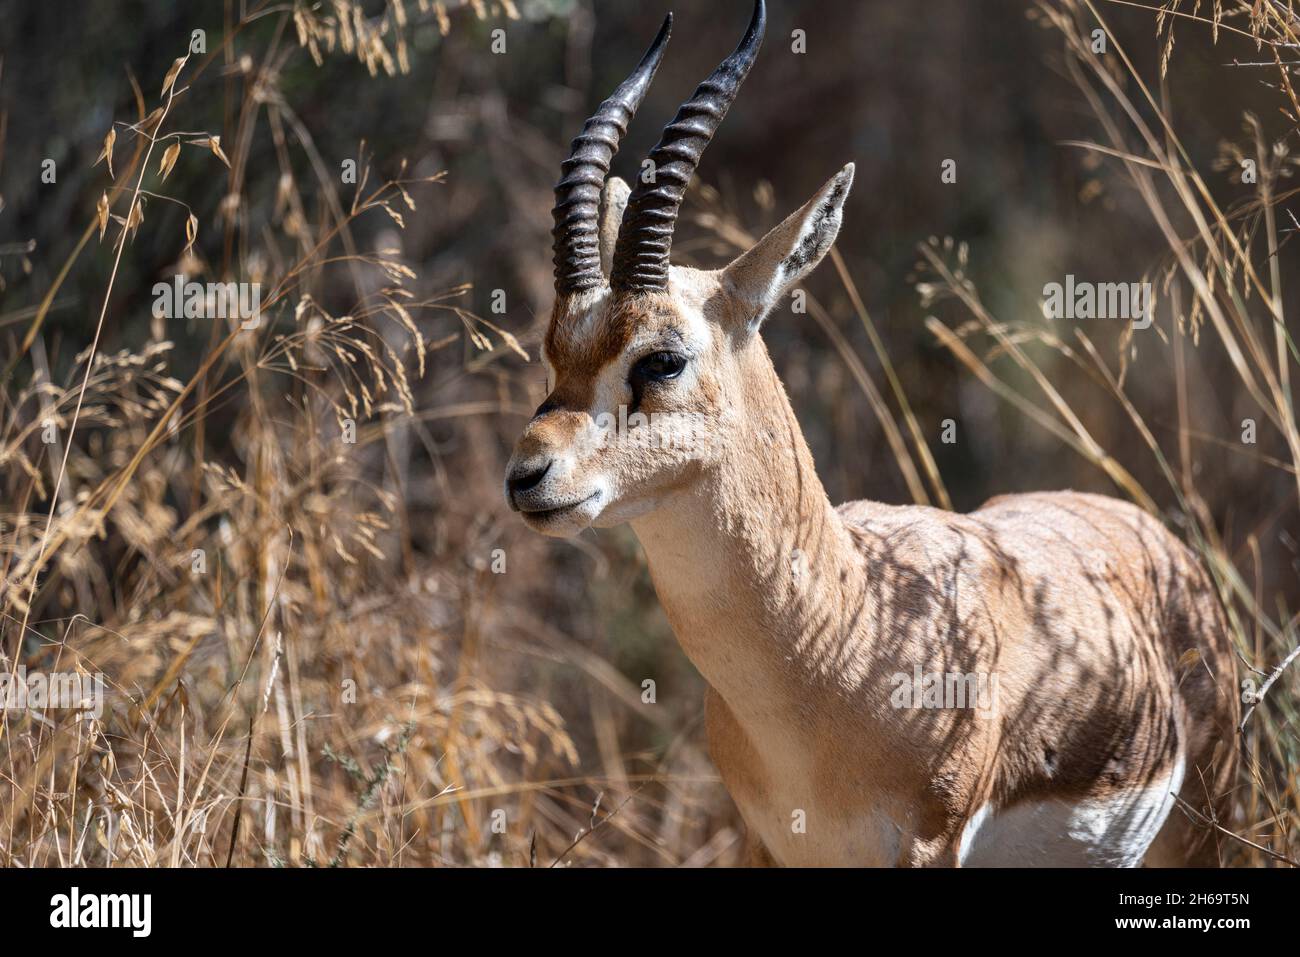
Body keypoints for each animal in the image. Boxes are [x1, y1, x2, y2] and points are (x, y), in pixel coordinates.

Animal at [505, 0, 1239, 866]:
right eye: (552, 350)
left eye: (662, 358)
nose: (528, 476)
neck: (837, 629)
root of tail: (1155, 540)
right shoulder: (765, 841)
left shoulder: (928, 842)